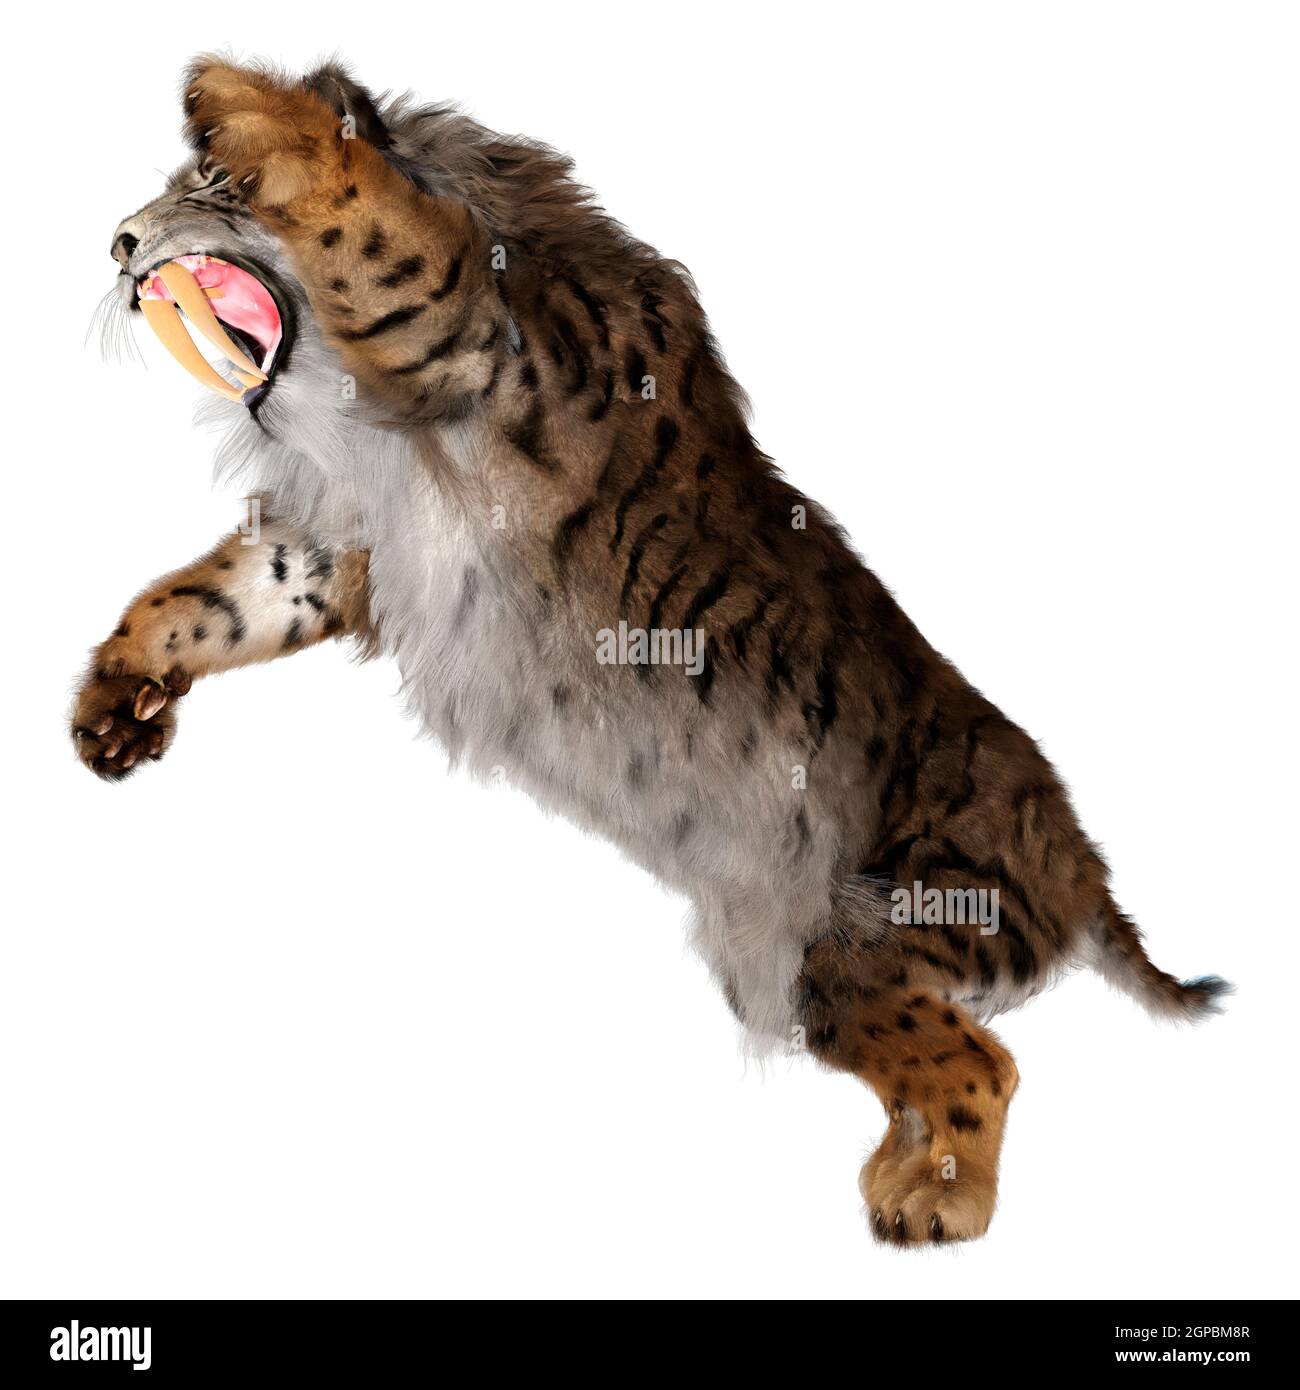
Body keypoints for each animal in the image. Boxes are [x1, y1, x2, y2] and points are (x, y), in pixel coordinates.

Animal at [72, 57, 1229, 1244]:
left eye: (208, 185)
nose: (117, 244)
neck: (355, 414)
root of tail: (1080, 865)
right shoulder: (336, 546)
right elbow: (202, 601)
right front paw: (117, 703)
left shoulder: (456, 329)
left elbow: (352, 191)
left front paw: (232, 93)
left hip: (856, 944)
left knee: (983, 1065)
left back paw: (930, 1204)